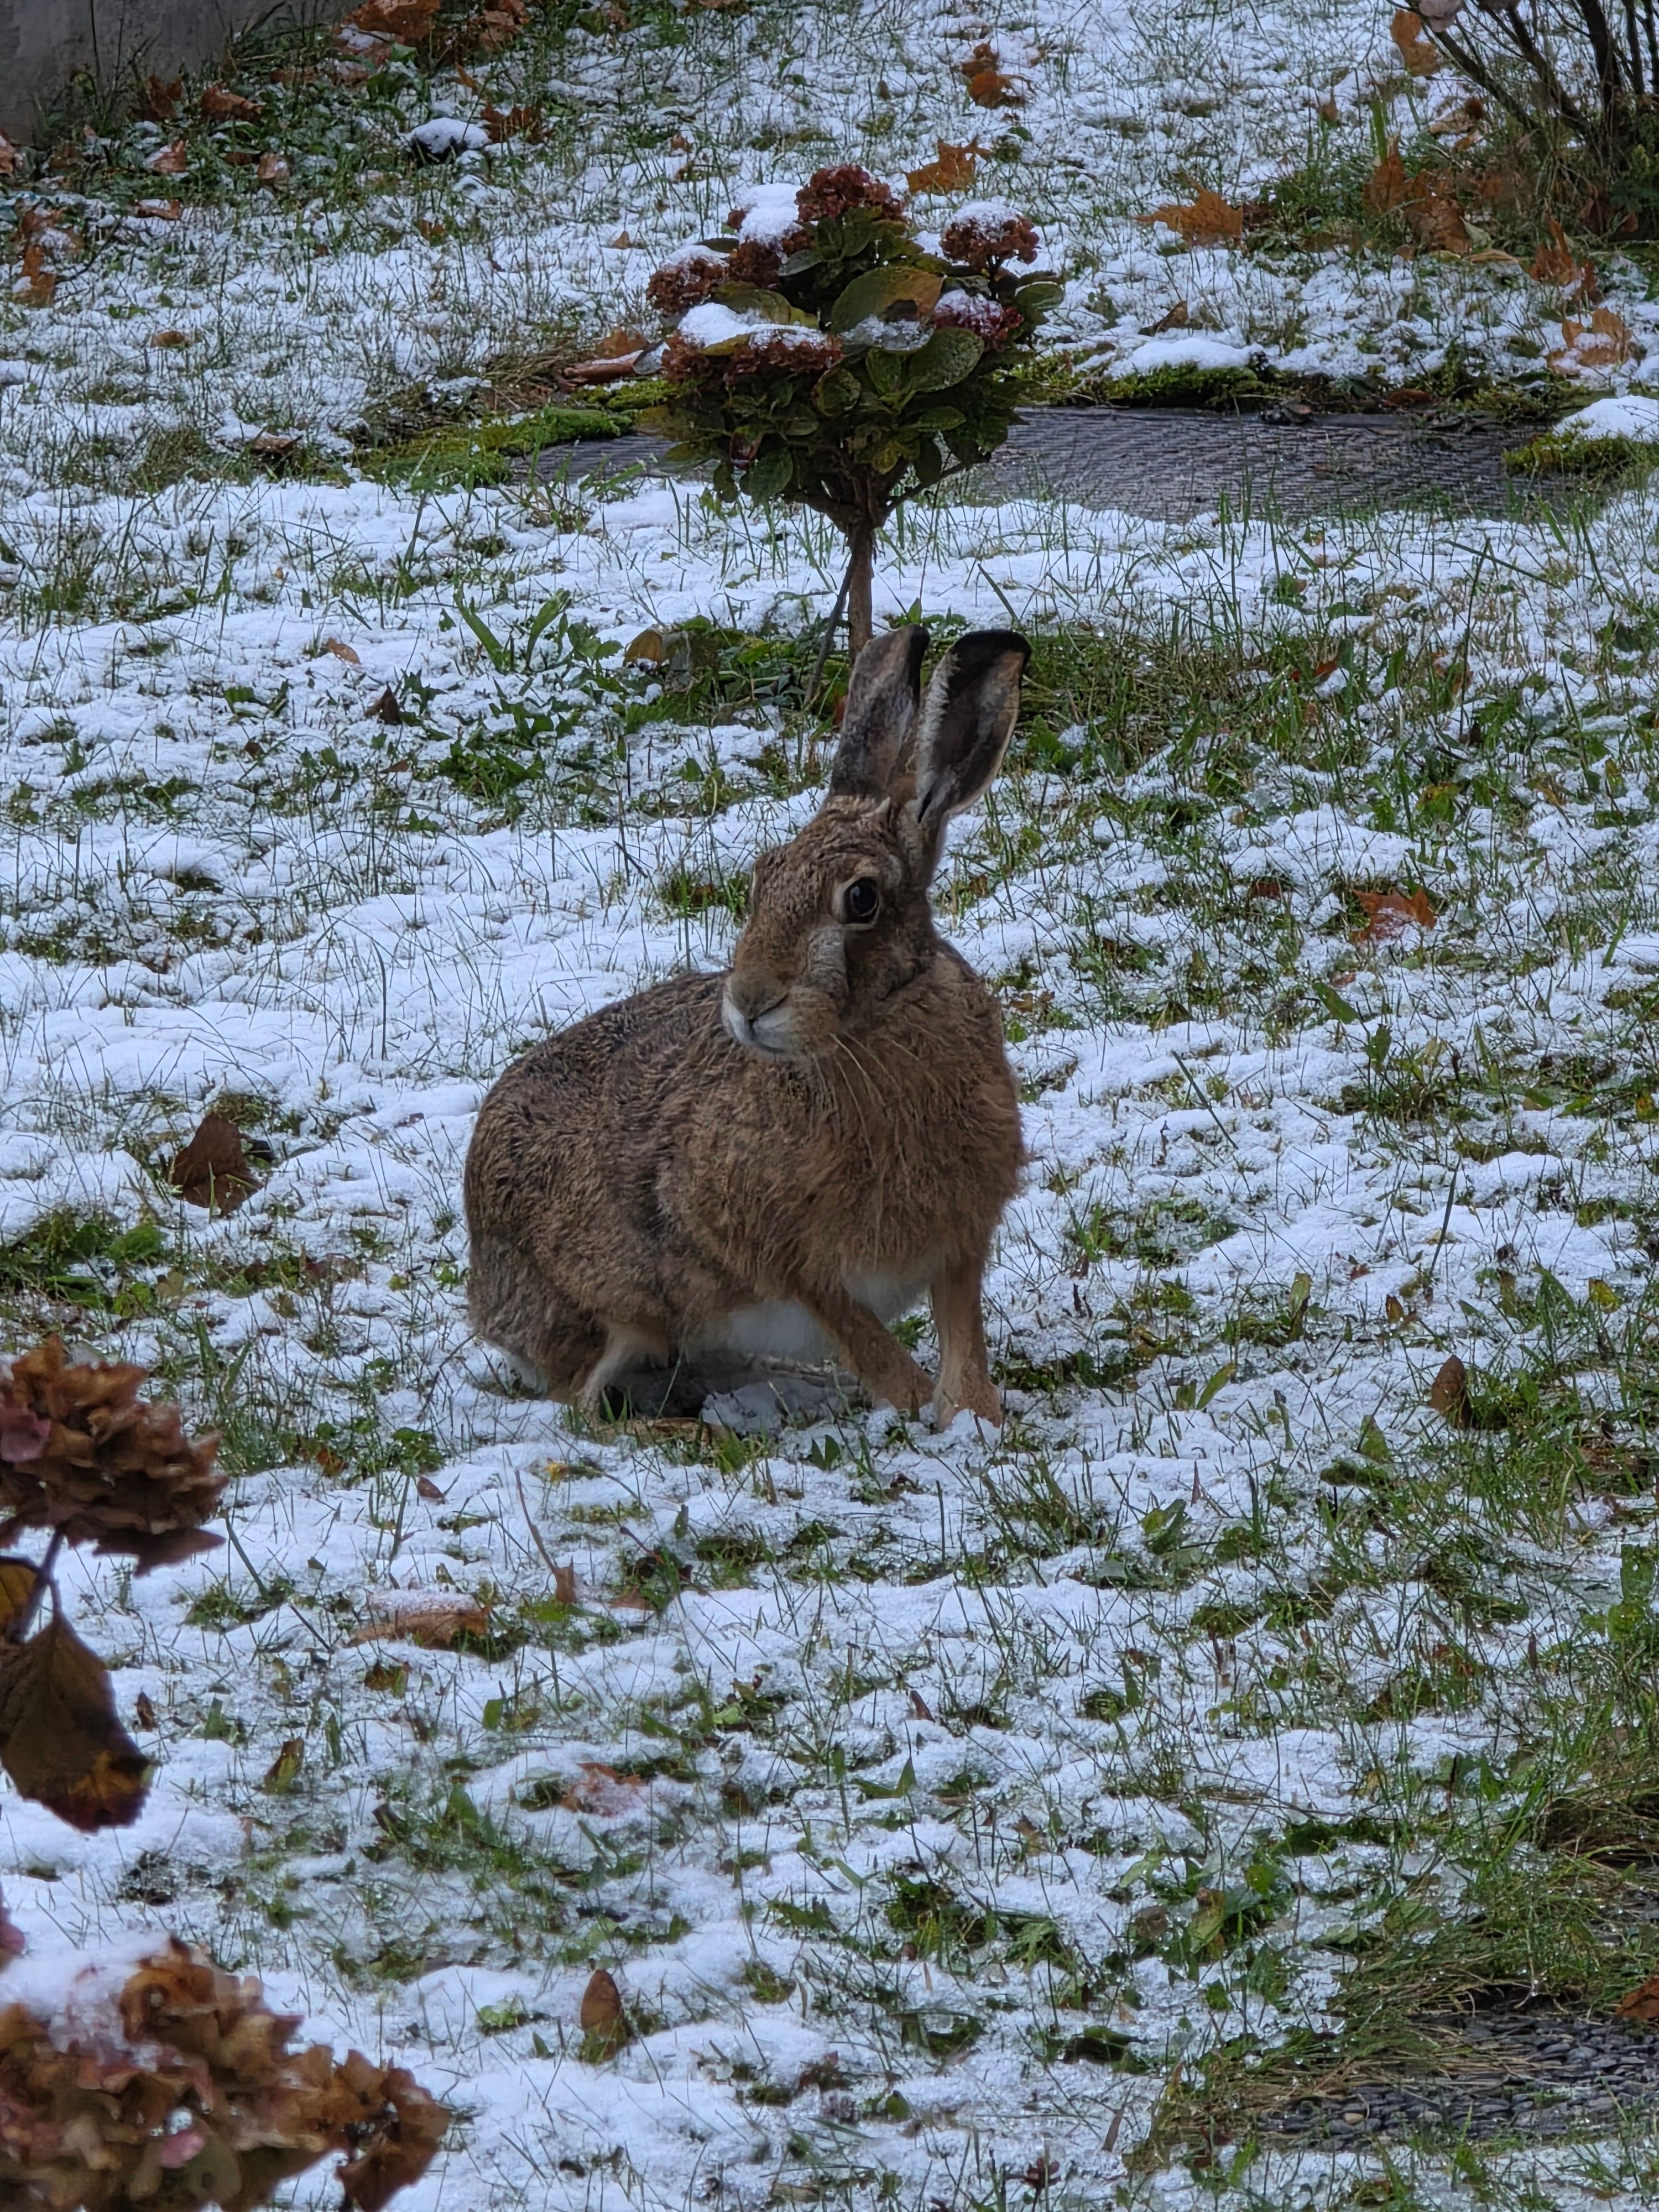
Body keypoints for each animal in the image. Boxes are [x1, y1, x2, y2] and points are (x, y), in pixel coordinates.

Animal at [464, 623, 1030, 1428]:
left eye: (862, 900)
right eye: (763, 880)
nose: (749, 1002)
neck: (873, 1030)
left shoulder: (961, 1240)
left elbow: (962, 1334)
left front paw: (972, 1415)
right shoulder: (770, 1250)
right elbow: (859, 1333)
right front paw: (917, 1403)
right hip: (607, 1312)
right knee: (577, 1404)